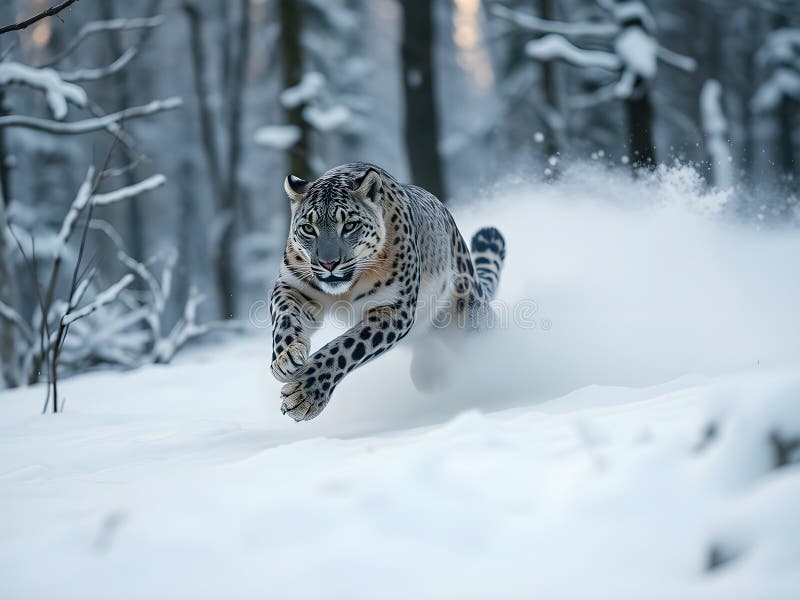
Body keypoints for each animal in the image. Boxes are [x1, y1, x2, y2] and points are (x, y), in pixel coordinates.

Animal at [270, 162, 506, 421]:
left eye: (349, 225)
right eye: (308, 229)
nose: (328, 263)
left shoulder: (393, 309)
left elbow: (346, 348)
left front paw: (304, 394)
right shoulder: (294, 287)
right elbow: (284, 317)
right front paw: (286, 357)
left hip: (470, 318)